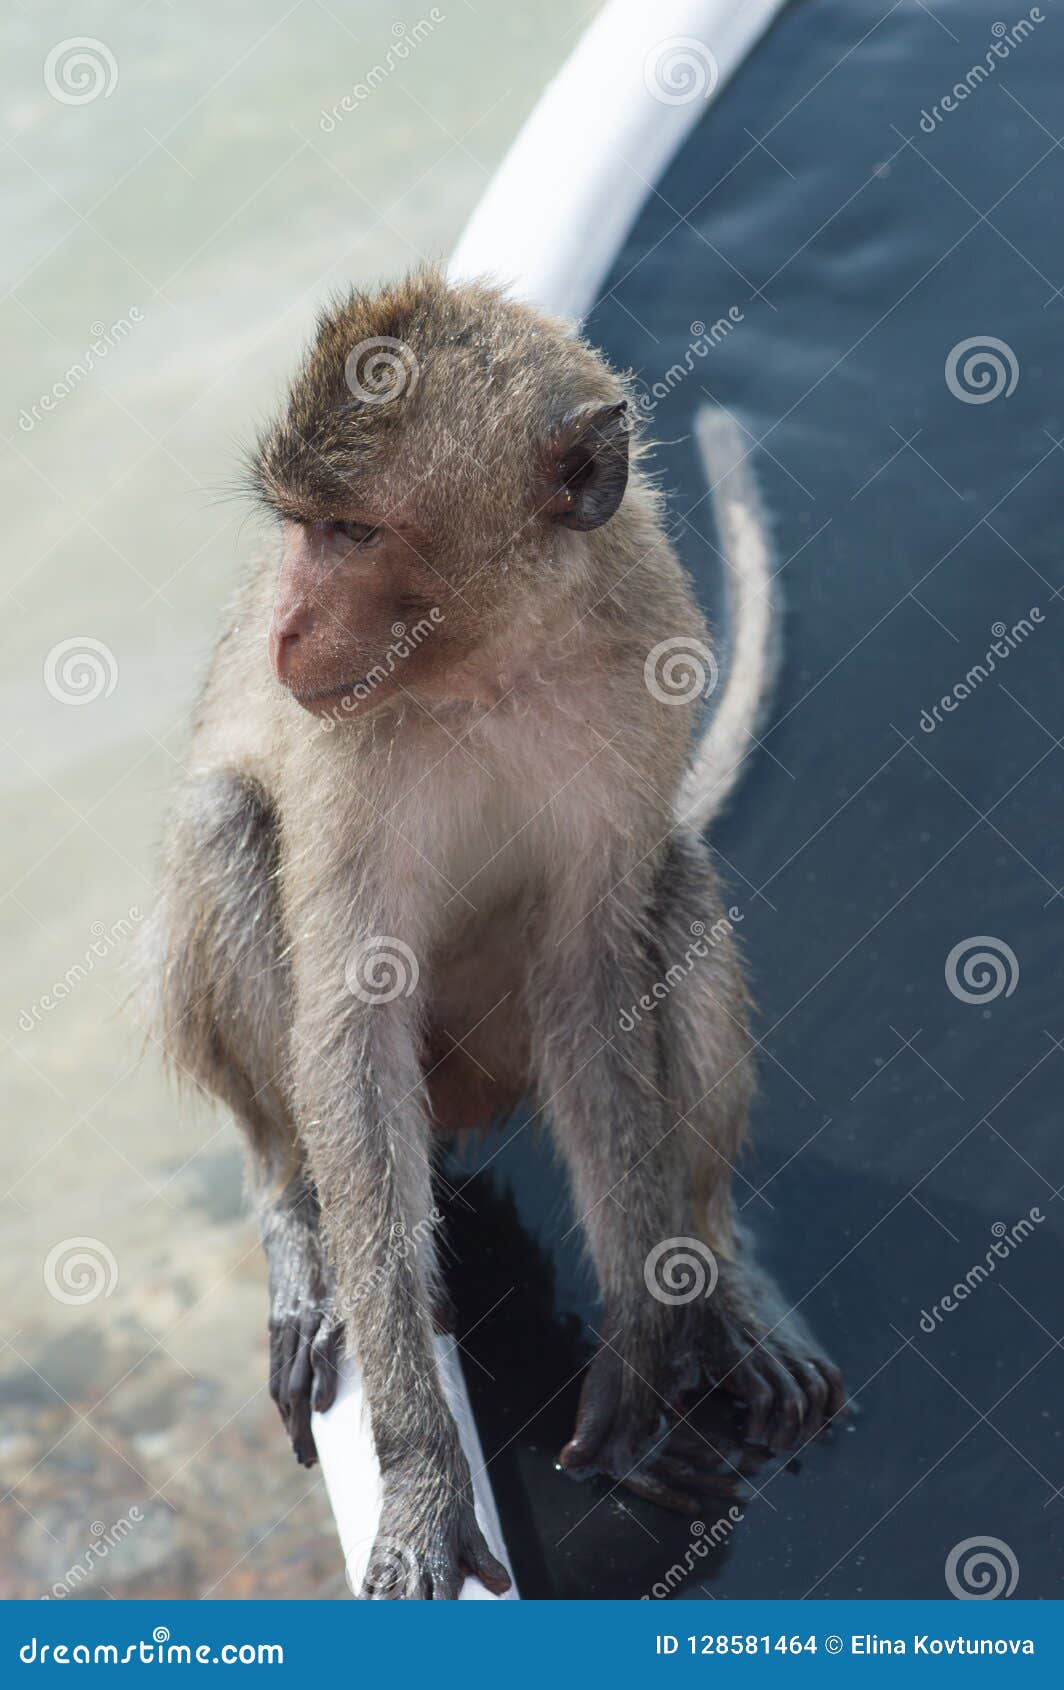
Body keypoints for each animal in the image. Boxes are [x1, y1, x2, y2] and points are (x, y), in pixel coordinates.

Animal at [146, 268, 844, 1600]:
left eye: (353, 533)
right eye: (300, 526)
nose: (283, 629)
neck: (492, 663)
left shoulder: (643, 666)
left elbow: (594, 972)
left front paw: (640, 1357)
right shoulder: (346, 748)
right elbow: (349, 1026)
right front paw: (422, 1470)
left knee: (670, 882)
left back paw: (718, 1277)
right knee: (221, 824)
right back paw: (299, 1217)